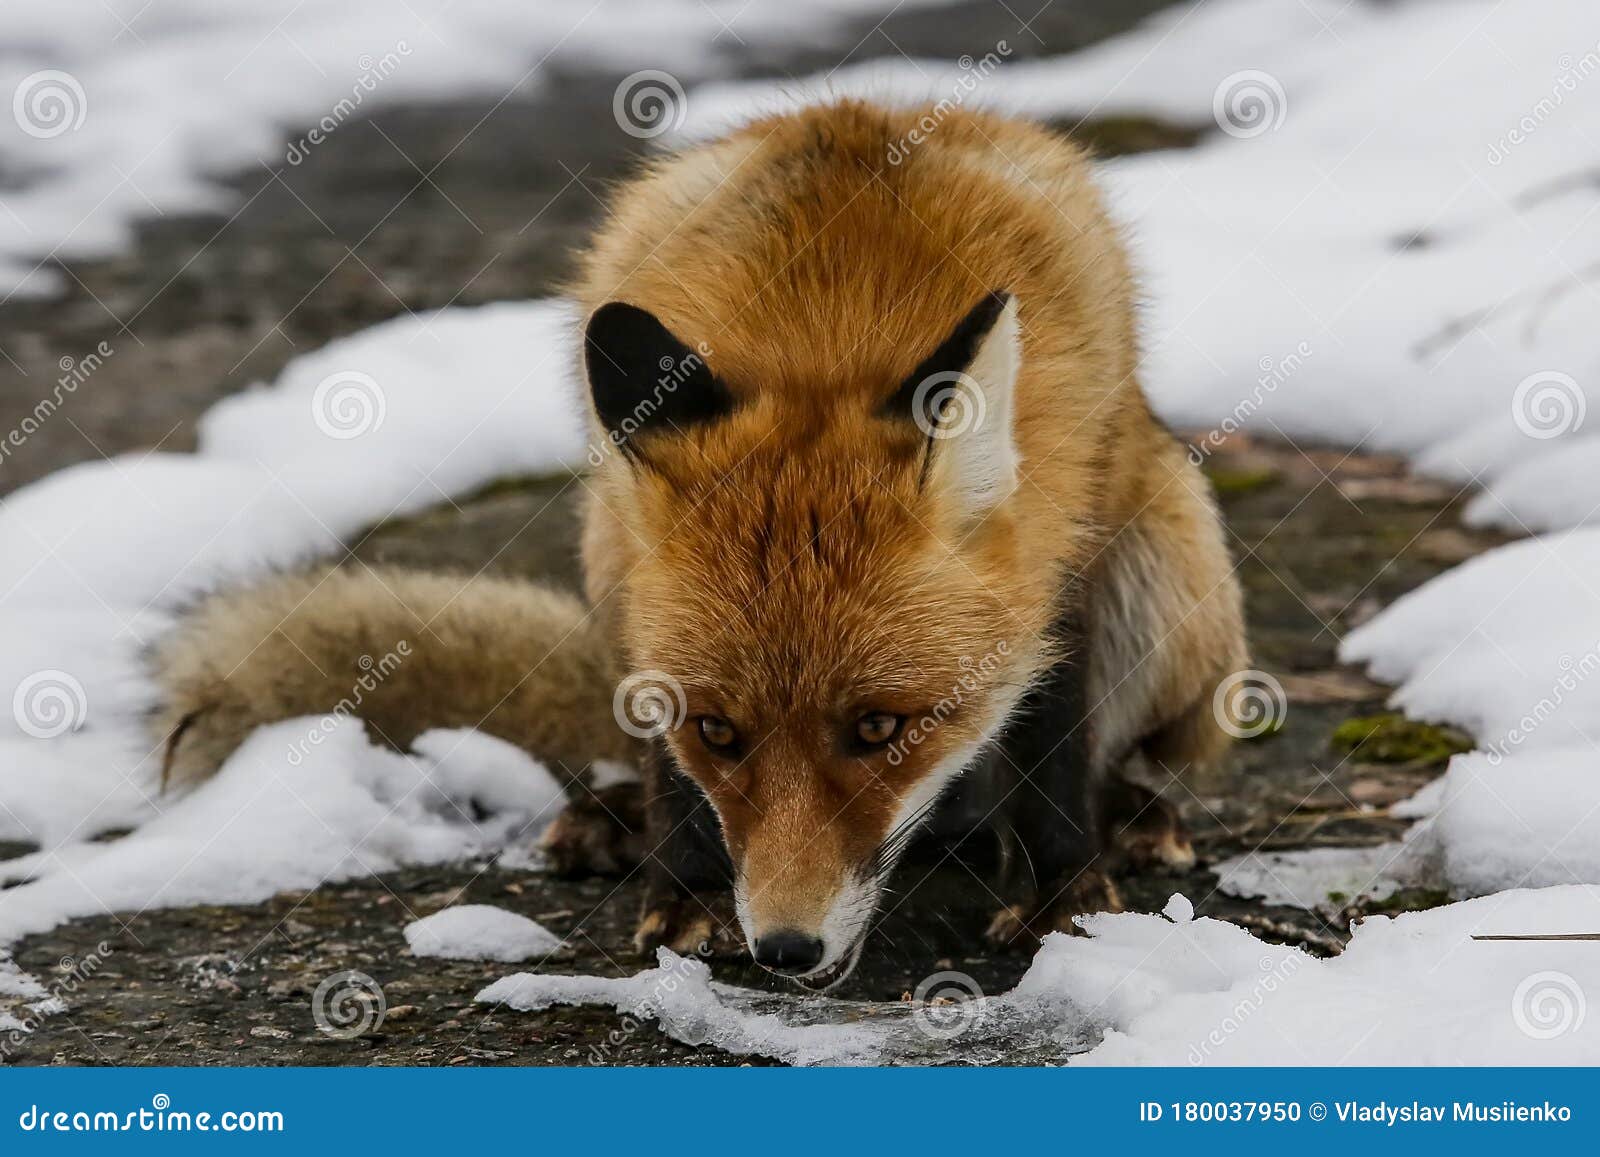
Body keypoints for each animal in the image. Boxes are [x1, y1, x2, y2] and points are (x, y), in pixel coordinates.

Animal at [152, 100, 1245, 989]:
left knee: (1124, 750)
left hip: (1175, 568)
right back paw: (612, 820)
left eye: (880, 728)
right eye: (719, 731)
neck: (833, 321)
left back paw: (1129, 816)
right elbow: (669, 766)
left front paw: (1066, 892)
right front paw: (682, 890)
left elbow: (1053, 737)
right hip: (601, 561)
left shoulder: (1068, 543)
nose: (788, 949)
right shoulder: (637, 586)